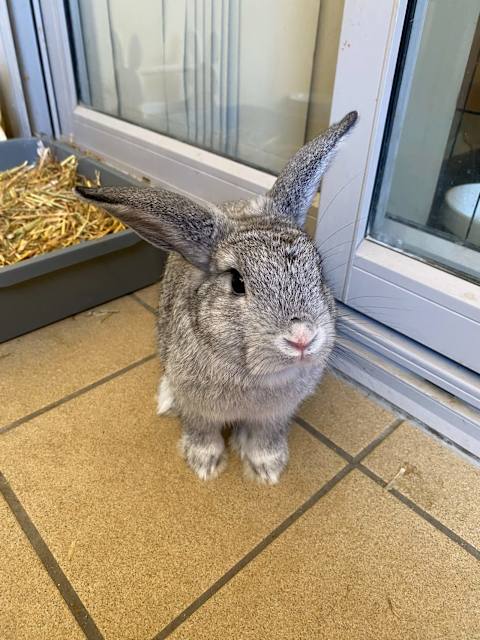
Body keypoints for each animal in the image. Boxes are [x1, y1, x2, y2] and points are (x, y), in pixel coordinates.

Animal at [76, 110, 358, 484]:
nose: (302, 337)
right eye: (237, 283)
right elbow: (201, 431)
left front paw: (267, 470)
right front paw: (205, 465)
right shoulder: (198, 408)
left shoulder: (275, 415)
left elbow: (266, 437)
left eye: (318, 268)